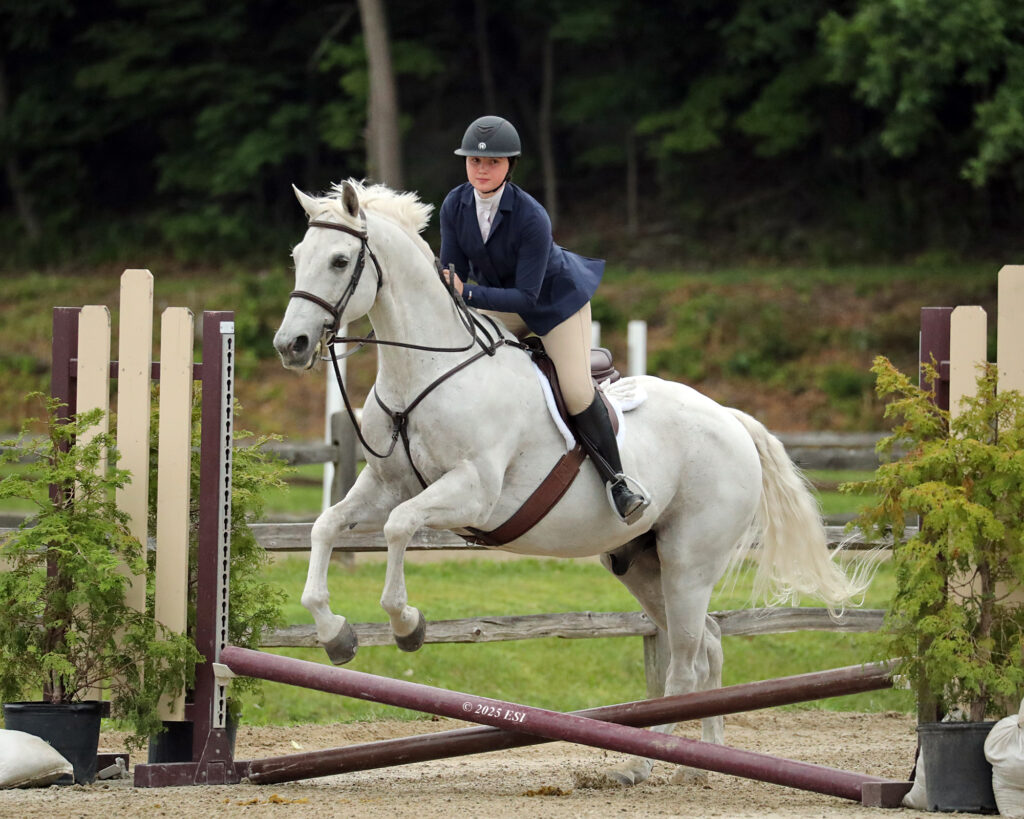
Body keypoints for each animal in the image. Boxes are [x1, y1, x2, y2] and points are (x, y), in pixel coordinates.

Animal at [273, 179, 871, 786]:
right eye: (297, 257)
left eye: (340, 260)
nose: (290, 345)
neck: (424, 374)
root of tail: (730, 418)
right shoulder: (384, 485)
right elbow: (326, 527)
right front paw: (336, 634)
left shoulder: (473, 492)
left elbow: (398, 528)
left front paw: (407, 624)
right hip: (643, 565)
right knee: (709, 643)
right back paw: (697, 762)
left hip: (689, 562)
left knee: (683, 661)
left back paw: (650, 763)